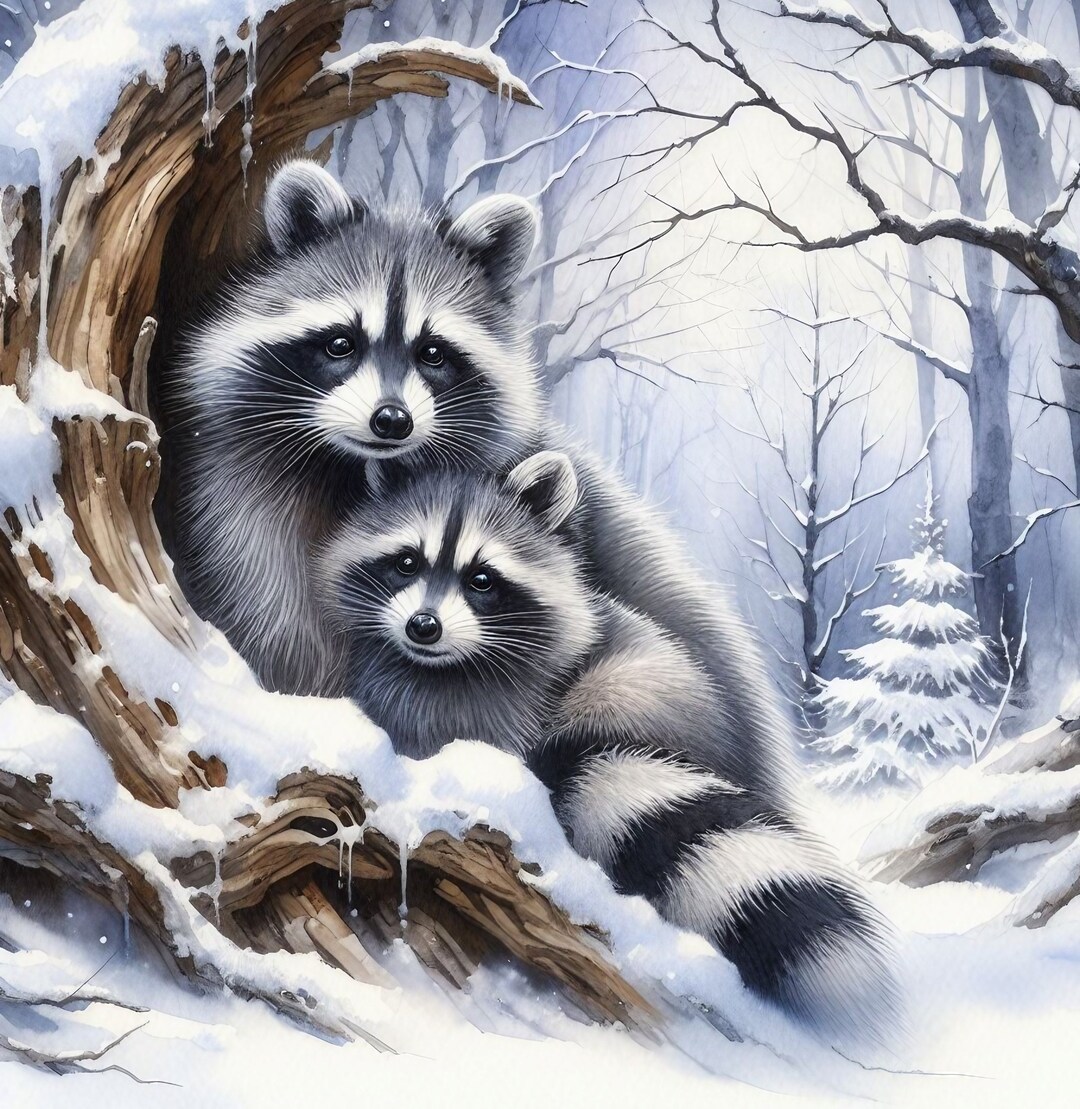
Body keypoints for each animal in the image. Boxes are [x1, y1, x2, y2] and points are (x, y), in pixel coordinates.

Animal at [167, 161, 541, 693]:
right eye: (341, 343)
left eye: (432, 352)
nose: (392, 420)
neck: (346, 467)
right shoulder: (239, 495)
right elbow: (264, 587)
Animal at [321, 451, 898, 1041]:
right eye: (406, 562)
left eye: (481, 579)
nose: (424, 626)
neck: (440, 667)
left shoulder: (521, 700)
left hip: (647, 691)